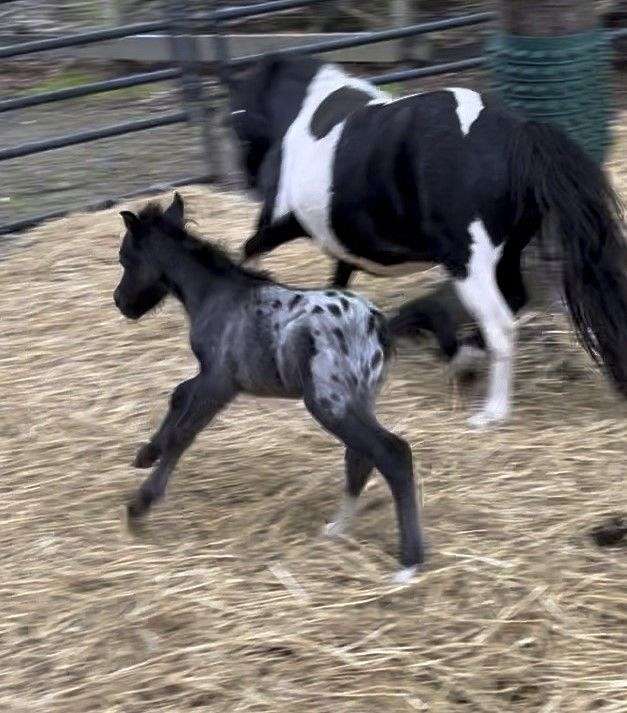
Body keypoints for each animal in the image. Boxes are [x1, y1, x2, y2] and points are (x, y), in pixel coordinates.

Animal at [113, 193, 424, 581]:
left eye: (126, 258)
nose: (120, 302)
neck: (216, 294)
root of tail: (377, 325)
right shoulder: (218, 375)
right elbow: (179, 393)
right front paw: (146, 453)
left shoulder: (220, 381)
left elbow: (184, 433)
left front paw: (140, 506)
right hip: (358, 399)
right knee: (361, 458)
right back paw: (337, 528)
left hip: (328, 403)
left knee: (392, 453)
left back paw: (408, 562)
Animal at [229, 55, 627, 427]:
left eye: (238, 111)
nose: (248, 177)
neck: (309, 120)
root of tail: (516, 134)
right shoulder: (342, 244)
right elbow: (337, 284)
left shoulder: (284, 223)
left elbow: (251, 248)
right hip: (506, 253)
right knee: (514, 299)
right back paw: (465, 361)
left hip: (469, 263)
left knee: (500, 326)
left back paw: (490, 413)